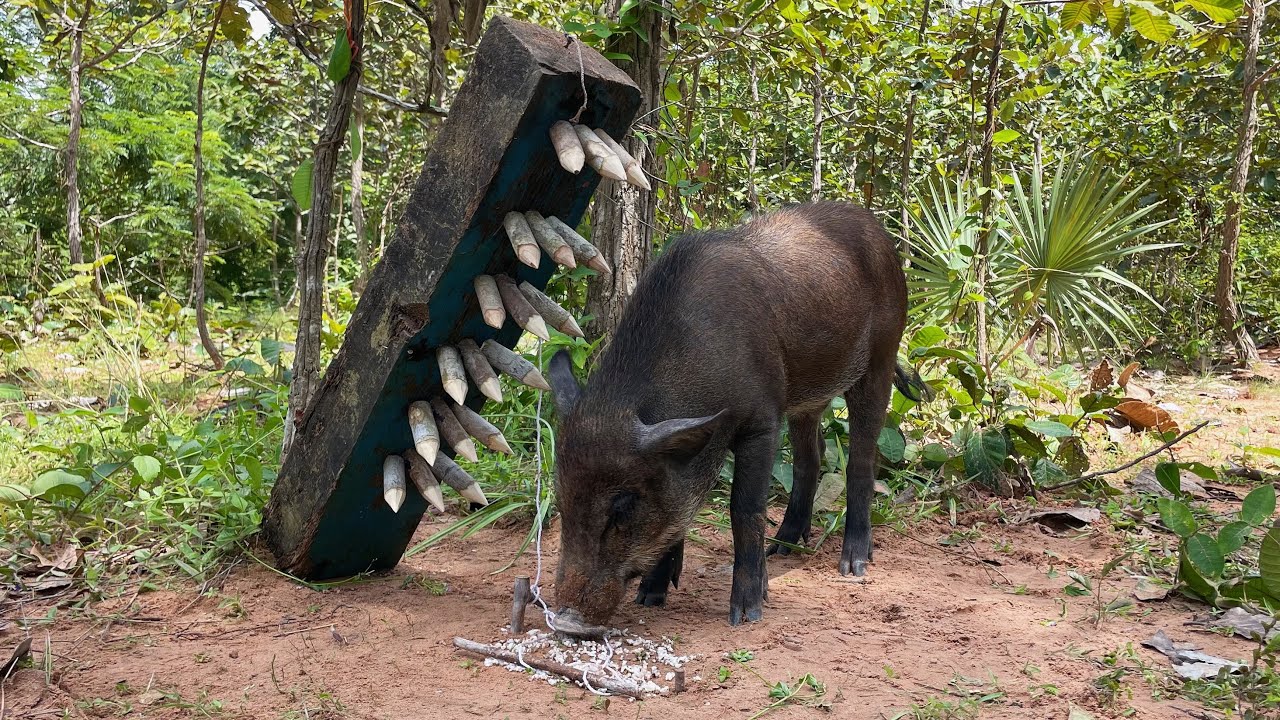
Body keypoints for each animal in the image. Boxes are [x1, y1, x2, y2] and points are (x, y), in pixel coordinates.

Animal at [546, 200, 922, 630]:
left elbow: (744, 508)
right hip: (807, 397)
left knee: (861, 458)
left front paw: (746, 614)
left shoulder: (762, 421)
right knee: (811, 457)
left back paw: (854, 565)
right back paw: (783, 548)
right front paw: (650, 598)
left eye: (623, 505)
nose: (566, 622)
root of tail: (879, 232)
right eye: (561, 496)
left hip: (882, 356)